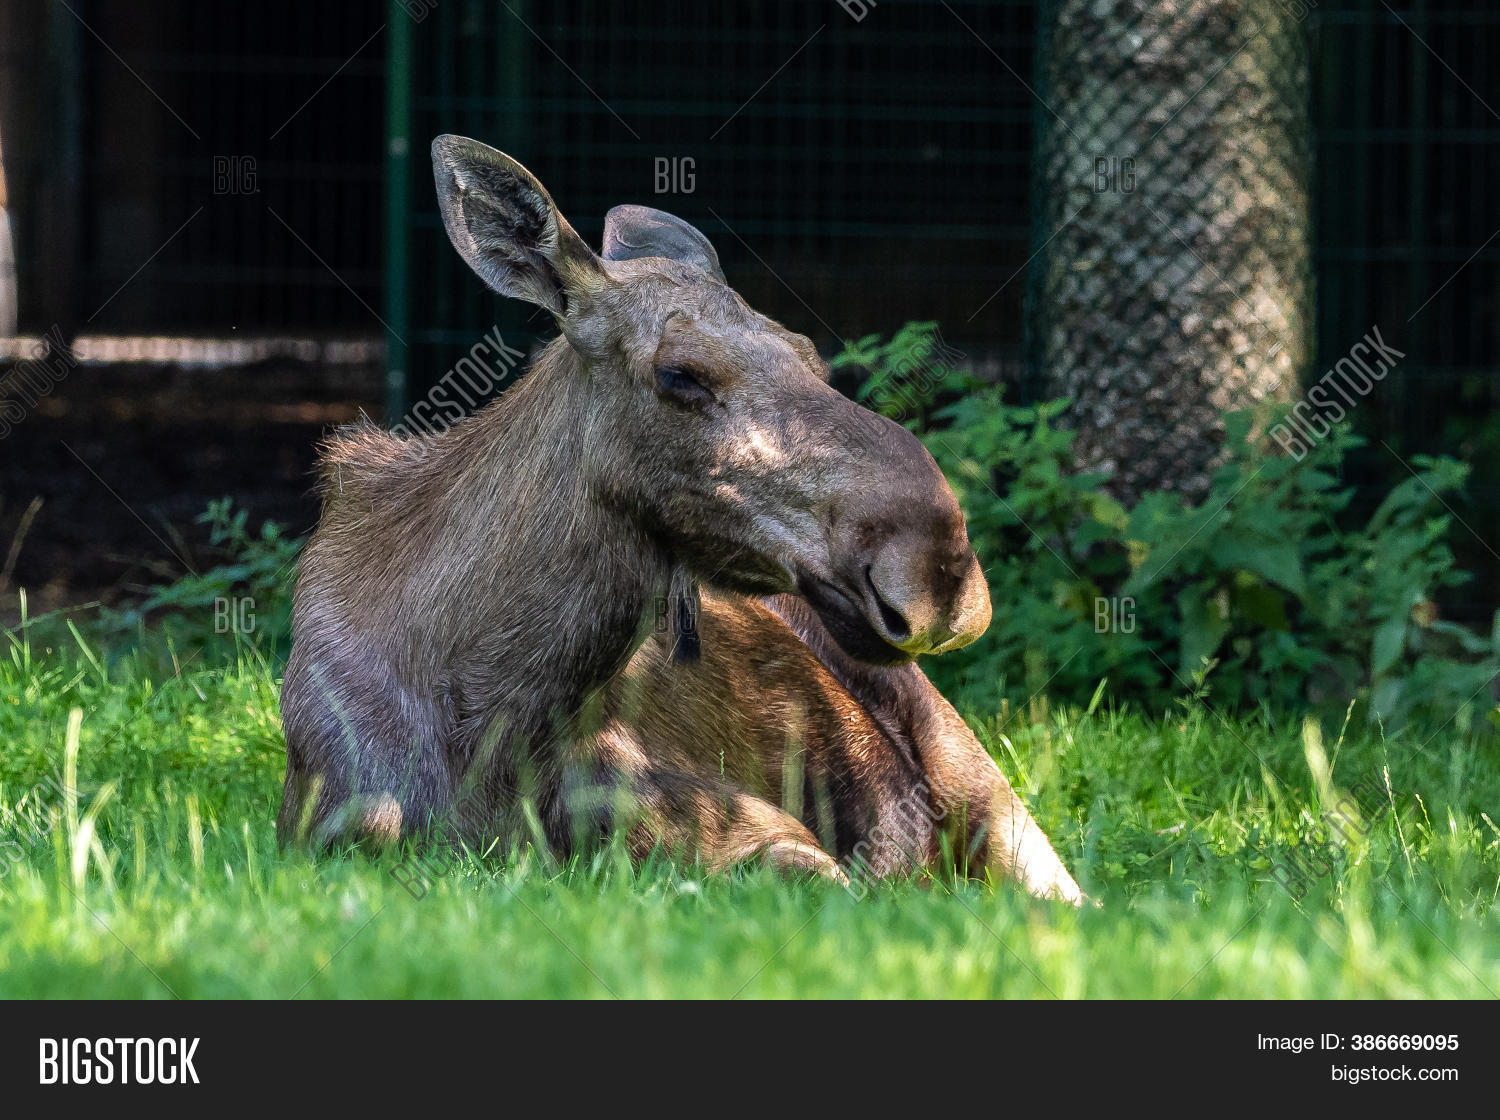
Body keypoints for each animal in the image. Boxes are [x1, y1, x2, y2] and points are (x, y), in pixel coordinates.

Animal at [278, 134, 1082, 903]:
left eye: (809, 353)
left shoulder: (760, 832)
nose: (938, 574)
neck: (498, 717)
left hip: (997, 807)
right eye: (680, 373)